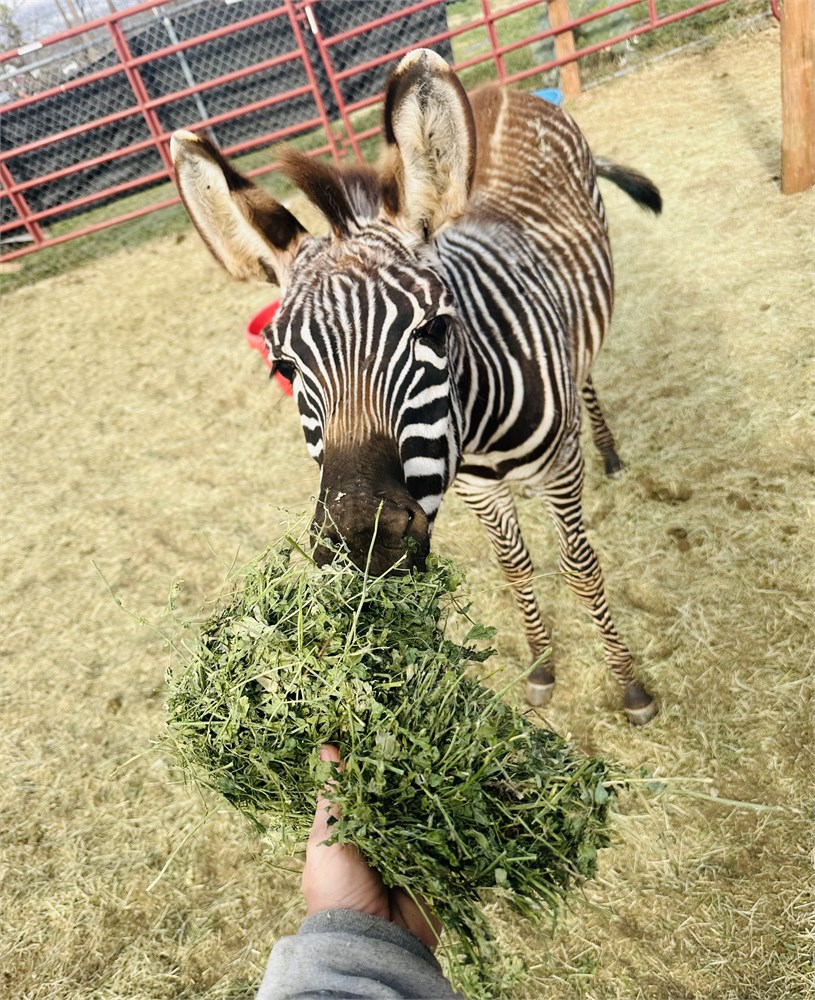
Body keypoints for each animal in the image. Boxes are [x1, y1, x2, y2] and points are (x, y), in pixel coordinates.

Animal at [171, 48, 662, 725]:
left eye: (433, 330)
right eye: (286, 368)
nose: (364, 542)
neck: (477, 429)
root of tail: (499, 89)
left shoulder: (560, 469)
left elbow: (580, 568)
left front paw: (629, 683)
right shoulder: (480, 489)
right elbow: (516, 568)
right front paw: (541, 668)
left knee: (586, 373)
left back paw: (610, 451)